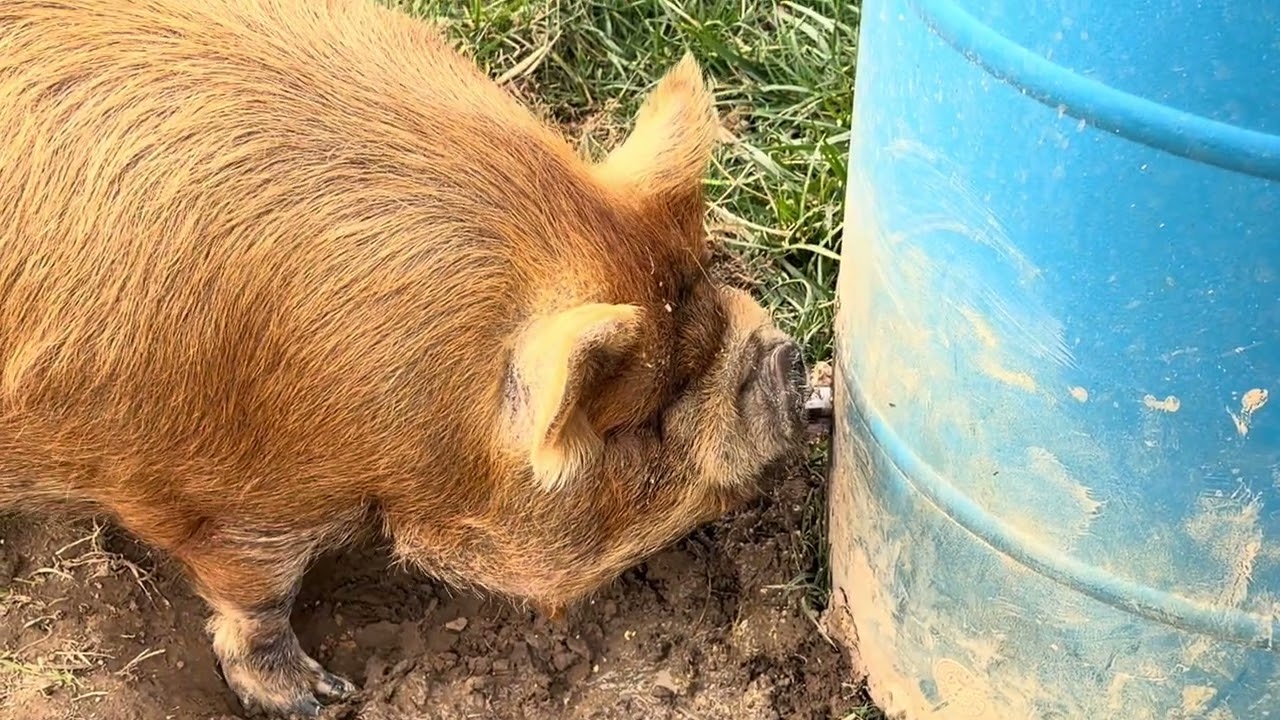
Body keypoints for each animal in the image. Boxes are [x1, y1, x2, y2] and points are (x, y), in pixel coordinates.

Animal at [0, 0, 810, 716]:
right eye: (643, 419)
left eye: (713, 283)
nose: (788, 362)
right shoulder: (221, 497)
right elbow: (256, 597)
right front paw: (323, 698)